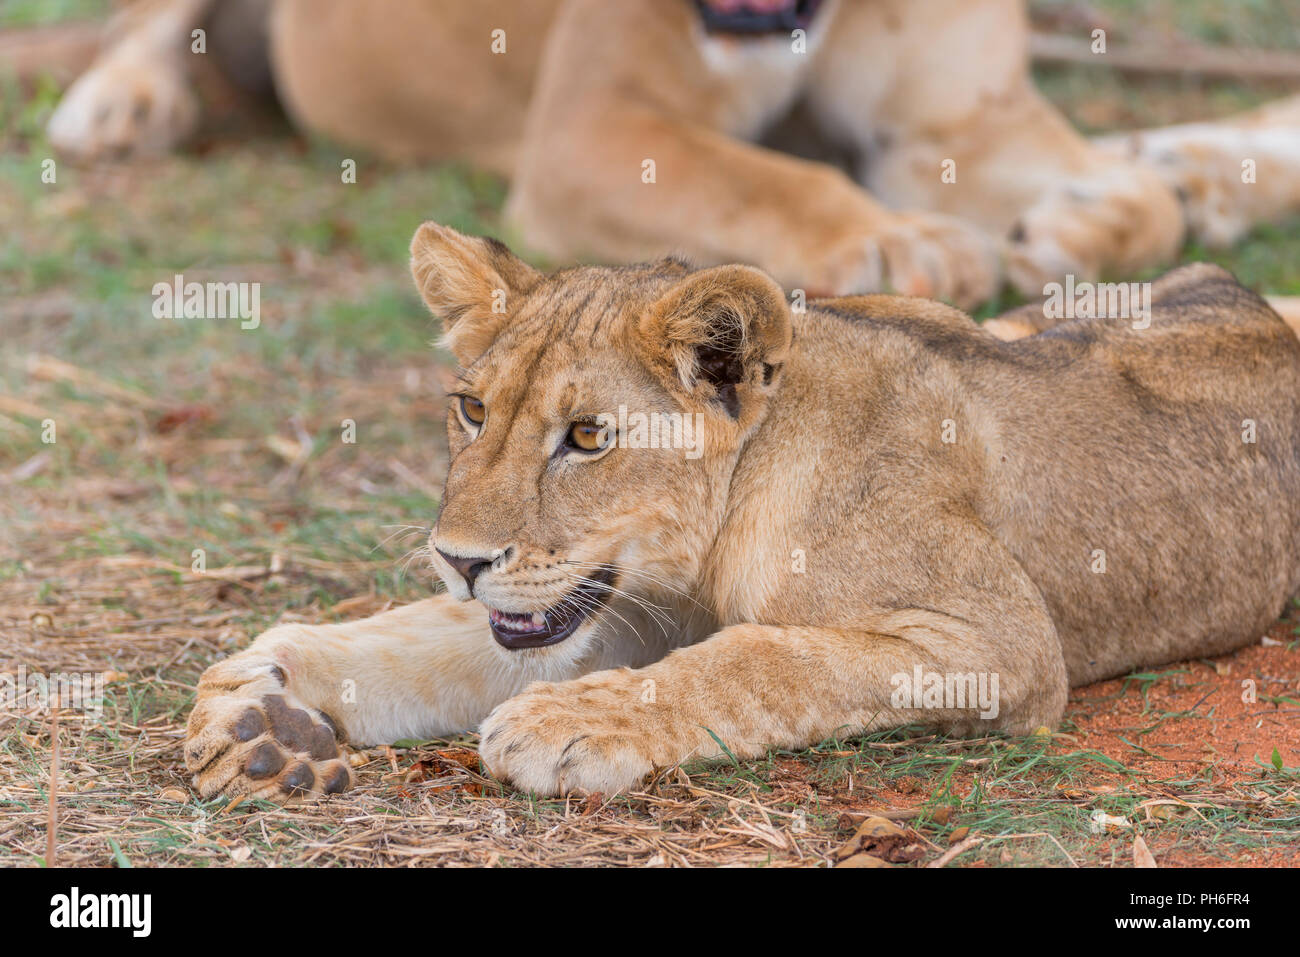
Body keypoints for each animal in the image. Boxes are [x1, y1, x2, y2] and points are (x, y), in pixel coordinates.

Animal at [181, 222, 1300, 800]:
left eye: (587, 437)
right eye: (471, 410)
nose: (459, 558)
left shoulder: (1002, 638)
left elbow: (762, 657)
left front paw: (570, 722)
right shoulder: (609, 610)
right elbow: (421, 641)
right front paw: (259, 700)